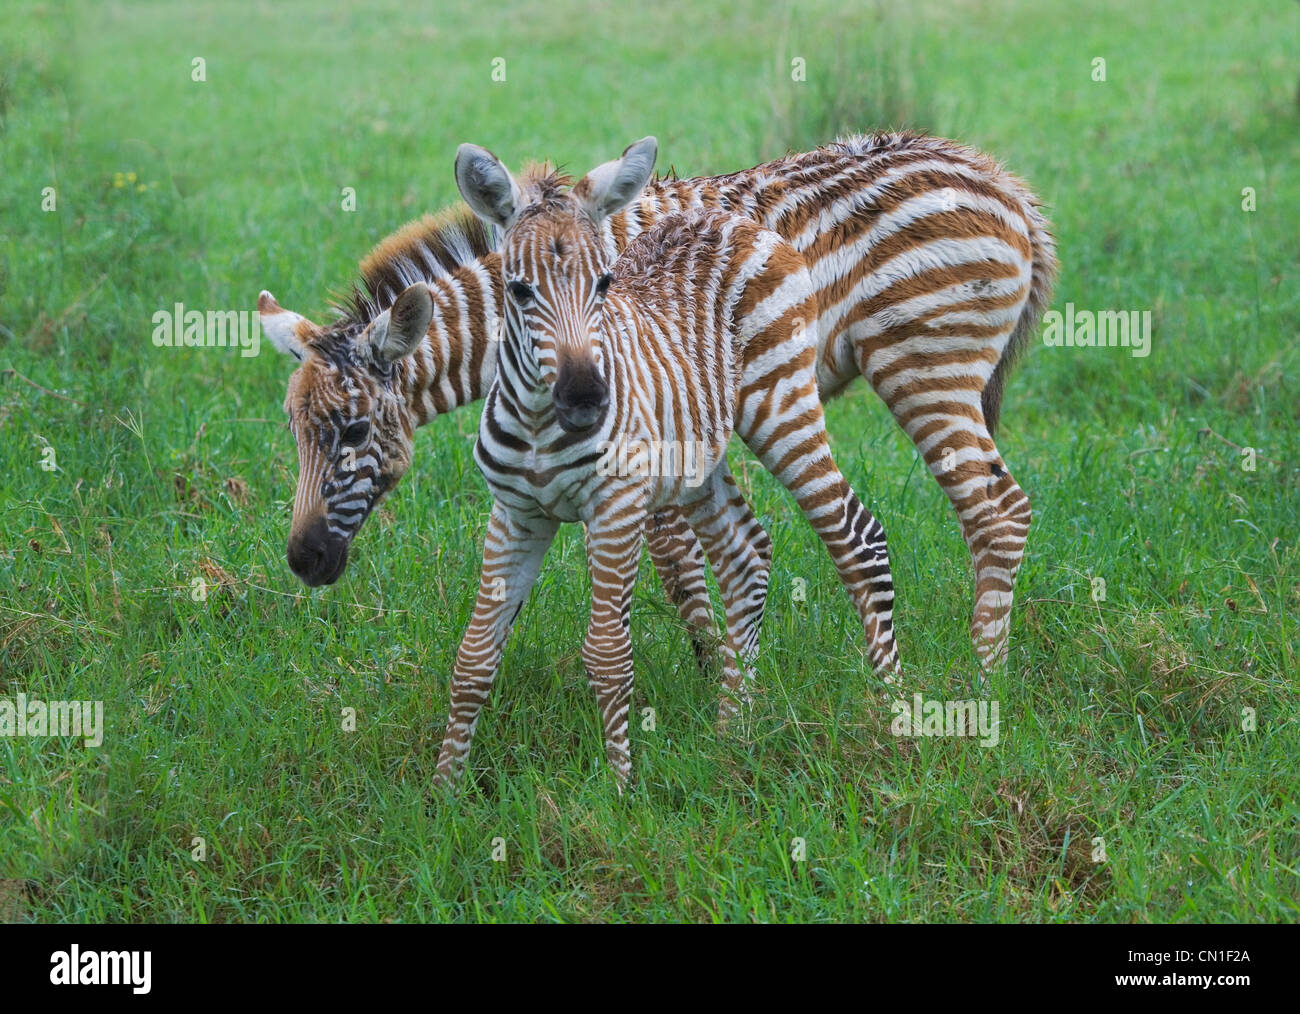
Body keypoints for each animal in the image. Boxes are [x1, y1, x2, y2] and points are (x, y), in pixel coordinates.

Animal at [260, 131, 1056, 670]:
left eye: (354, 432)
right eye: (295, 433)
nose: (302, 562)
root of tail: (1006, 184)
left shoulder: (649, 426)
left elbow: (677, 568)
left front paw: (710, 679)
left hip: (922, 365)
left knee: (997, 514)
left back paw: (981, 676)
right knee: (1000, 509)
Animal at [432, 137, 896, 789]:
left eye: (604, 283)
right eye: (519, 290)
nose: (585, 398)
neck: (541, 426)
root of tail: (728, 218)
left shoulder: (616, 507)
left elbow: (607, 652)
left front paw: (619, 787)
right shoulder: (516, 512)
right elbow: (474, 653)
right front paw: (445, 787)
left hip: (781, 404)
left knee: (857, 535)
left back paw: (894, 708)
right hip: (698, 453)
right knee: (745, 555)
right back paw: (732, 731)